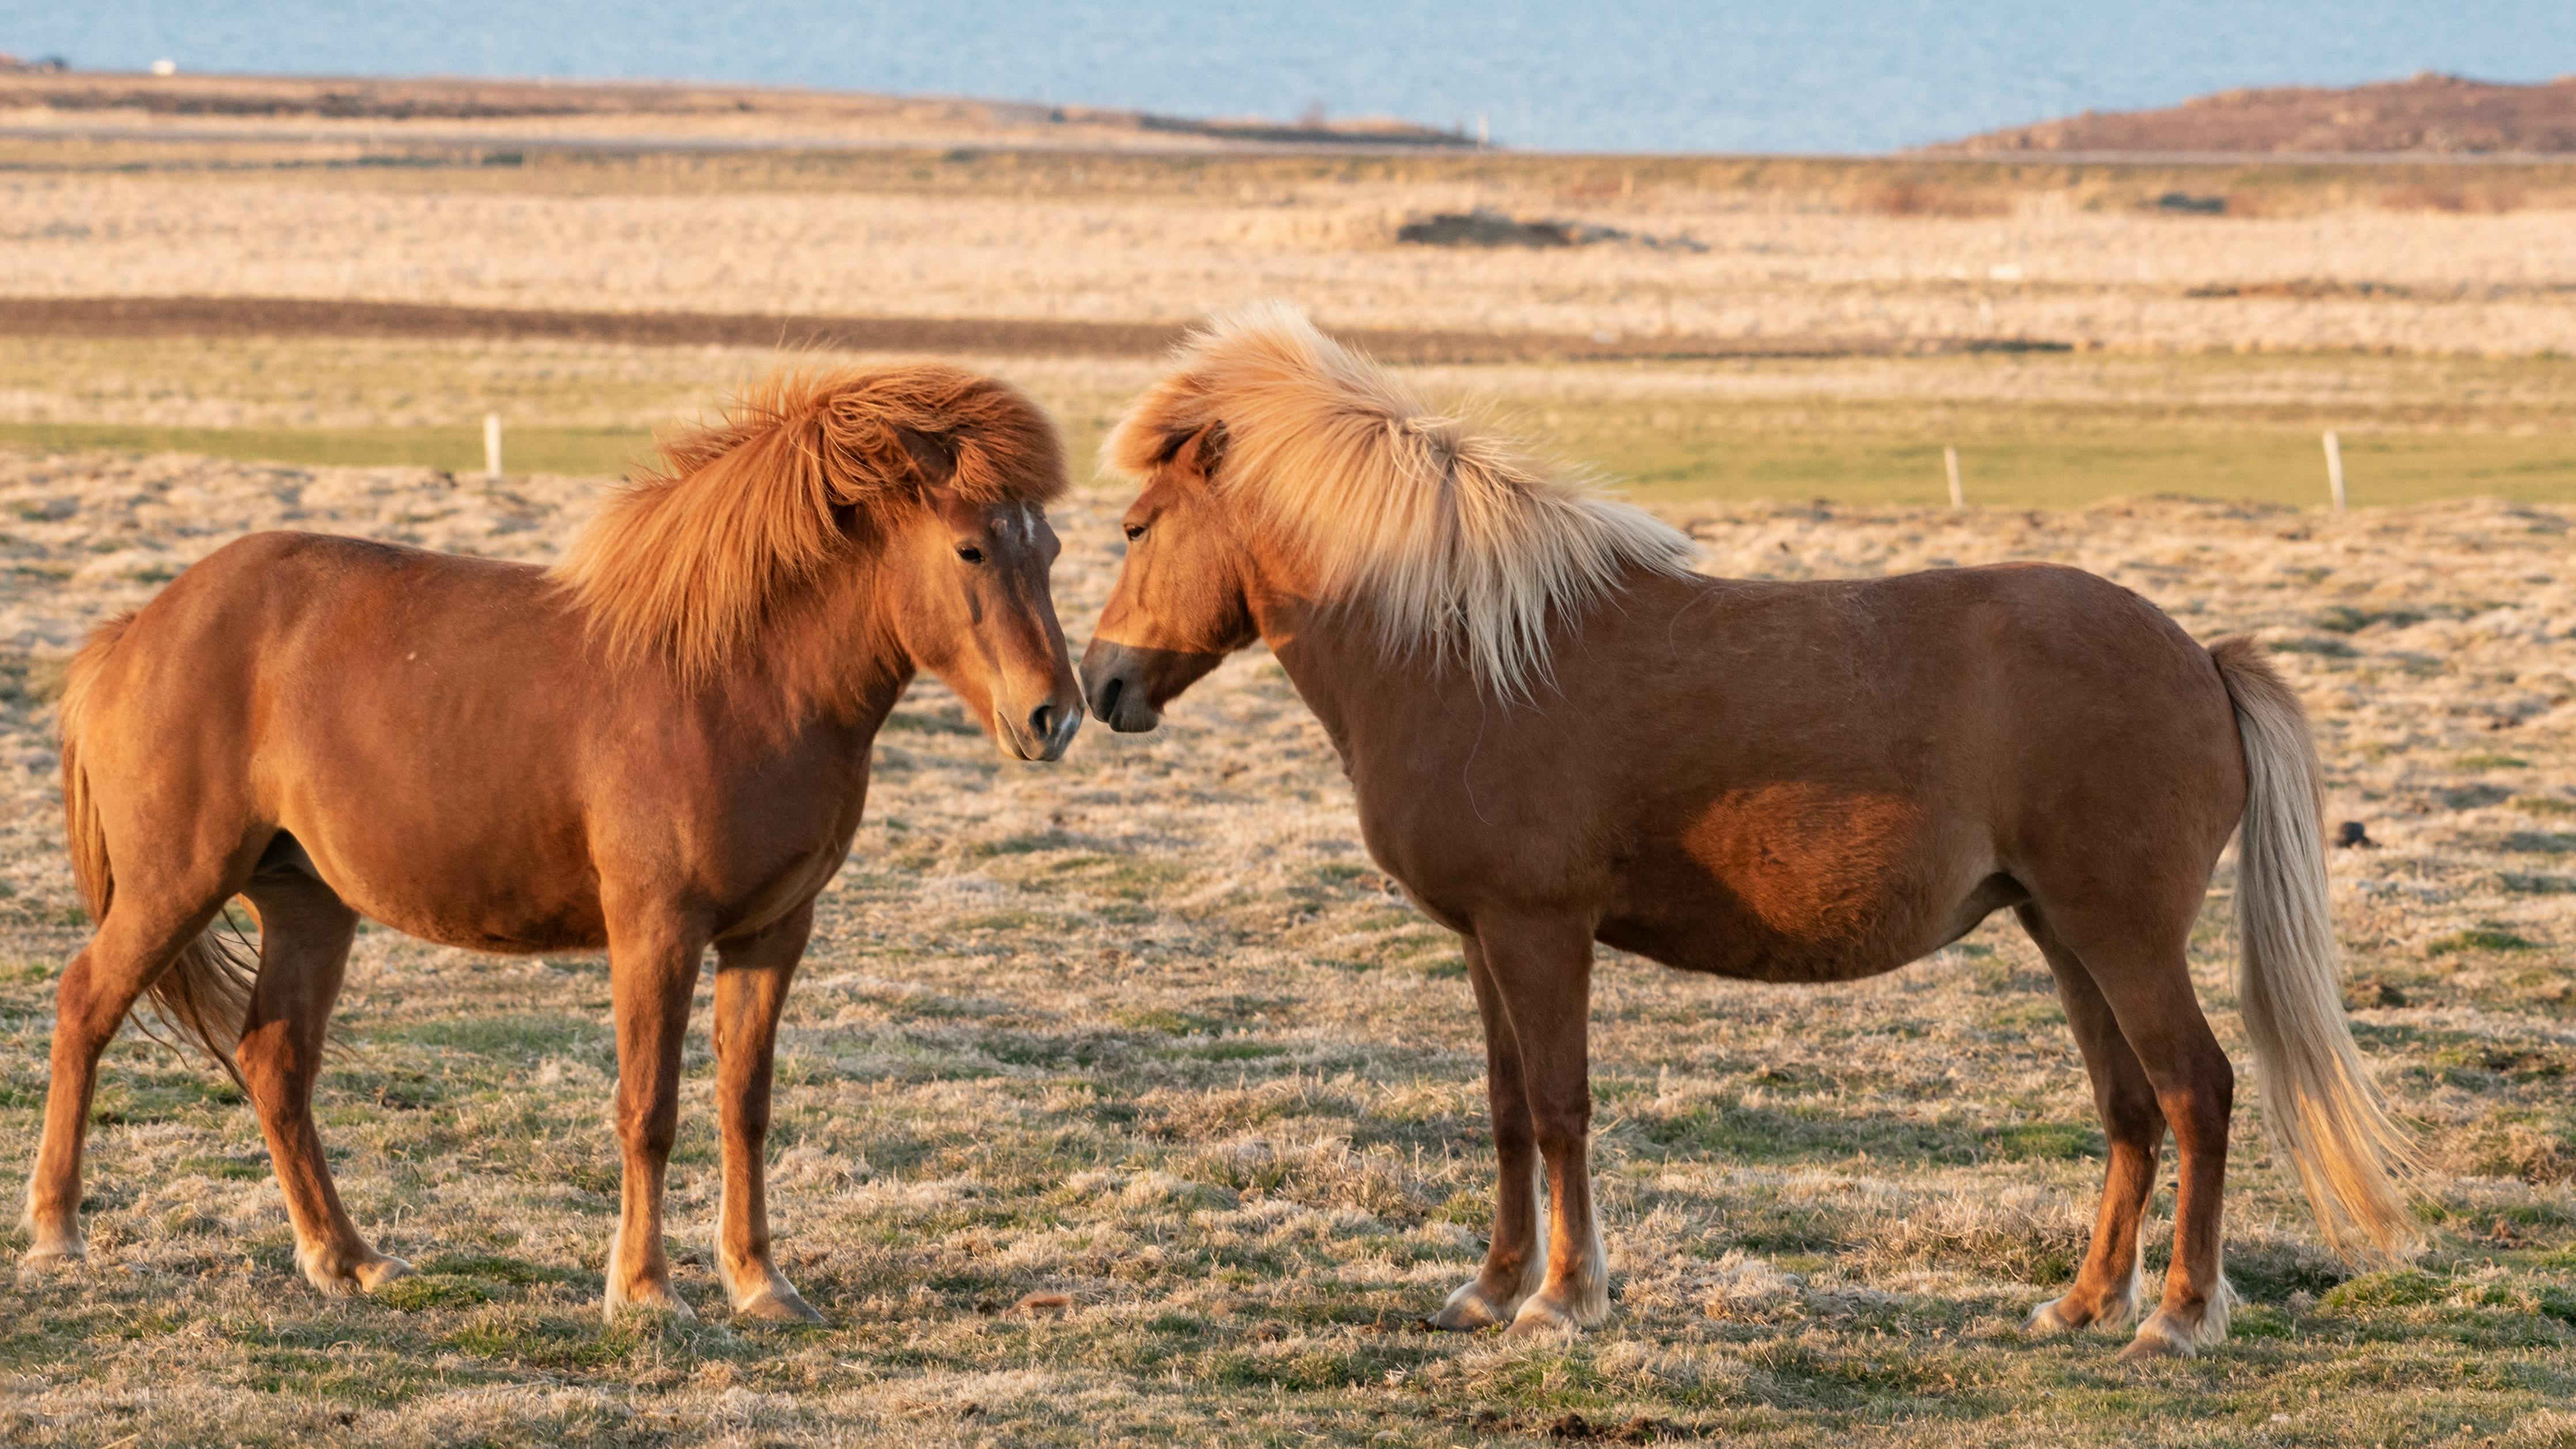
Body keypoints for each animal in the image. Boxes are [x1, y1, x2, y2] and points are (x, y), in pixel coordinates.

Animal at [25, 364, 1085, 1324]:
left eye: (1053, 549)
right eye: (969, 550)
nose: (1056, 716)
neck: (736, 680)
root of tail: (138, 630)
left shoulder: (772, 934)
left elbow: (744, 1106)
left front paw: (761, 1283)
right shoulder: (656, 931)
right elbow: (648, 1108)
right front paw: (647, 1292)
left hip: (308, 904)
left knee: (274, 1062)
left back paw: (346, 1259)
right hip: (176, 883)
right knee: (85, 1006)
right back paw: (57, 1234)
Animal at [1077, 304, 2414, 1360]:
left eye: (1136, 527)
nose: (1100, 688)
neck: (1464, 649)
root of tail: (2199, 656)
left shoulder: (1538, 932)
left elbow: (1558, 1107)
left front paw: (1562, 1298)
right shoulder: (1481, 940)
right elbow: (1506, 1110)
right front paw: (1491, 1287)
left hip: (2121, 936)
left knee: (2194, 1091)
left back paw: (2177, 1316)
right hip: (2062, 934)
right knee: (2129, 1110)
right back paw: (2081, 1303)